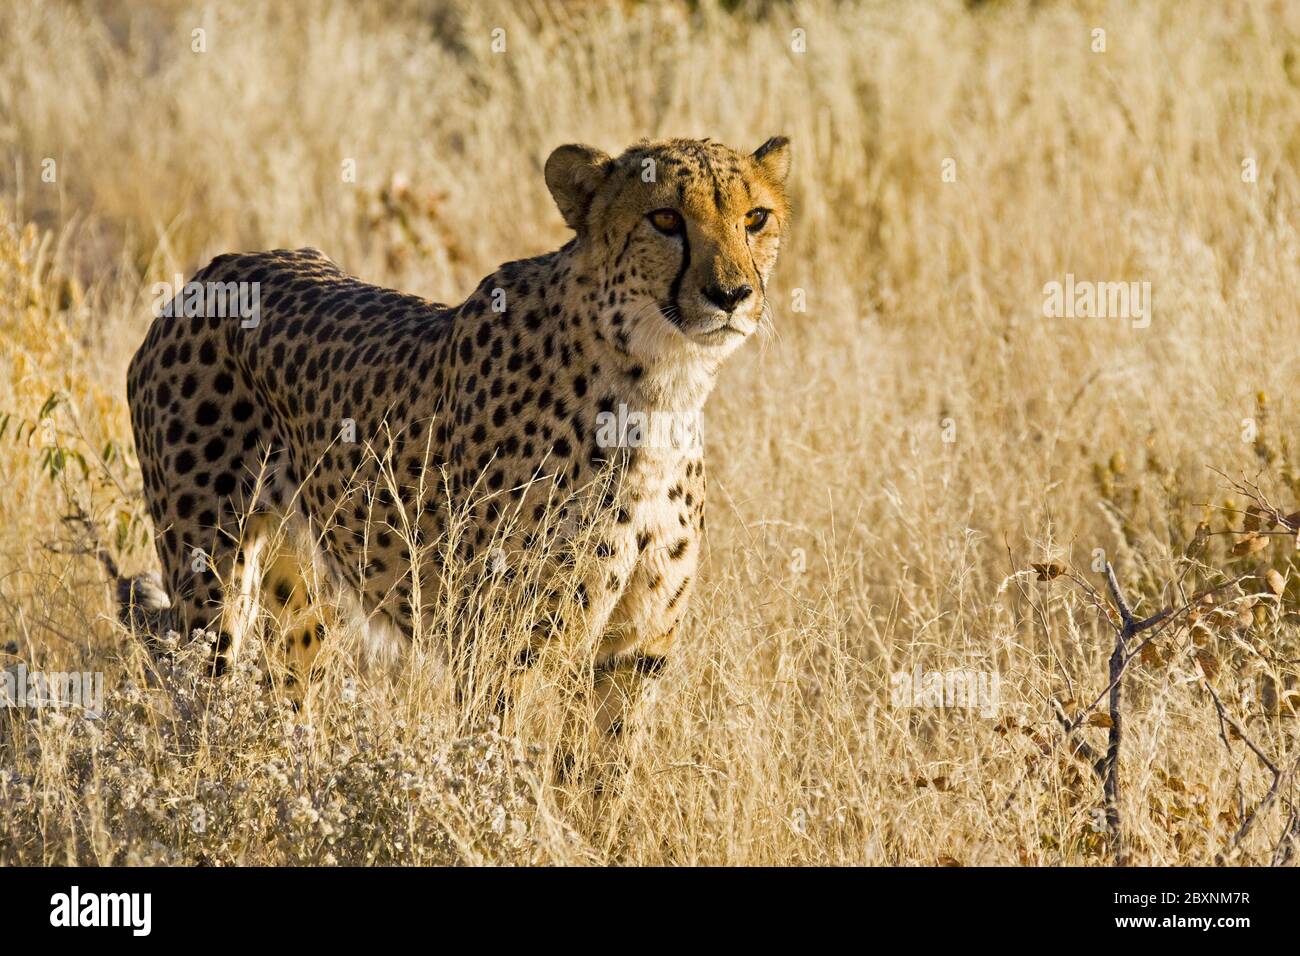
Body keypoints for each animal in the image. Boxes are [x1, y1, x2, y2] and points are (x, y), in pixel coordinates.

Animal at [126, 134, 791, 743]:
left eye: (755, 218)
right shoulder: (498, 651)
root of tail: (213, 271)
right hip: (210, 584)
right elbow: (496, 768)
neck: (659, 386)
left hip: (304, 596)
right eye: (666, 219)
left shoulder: (631, 654)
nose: (732, 295)